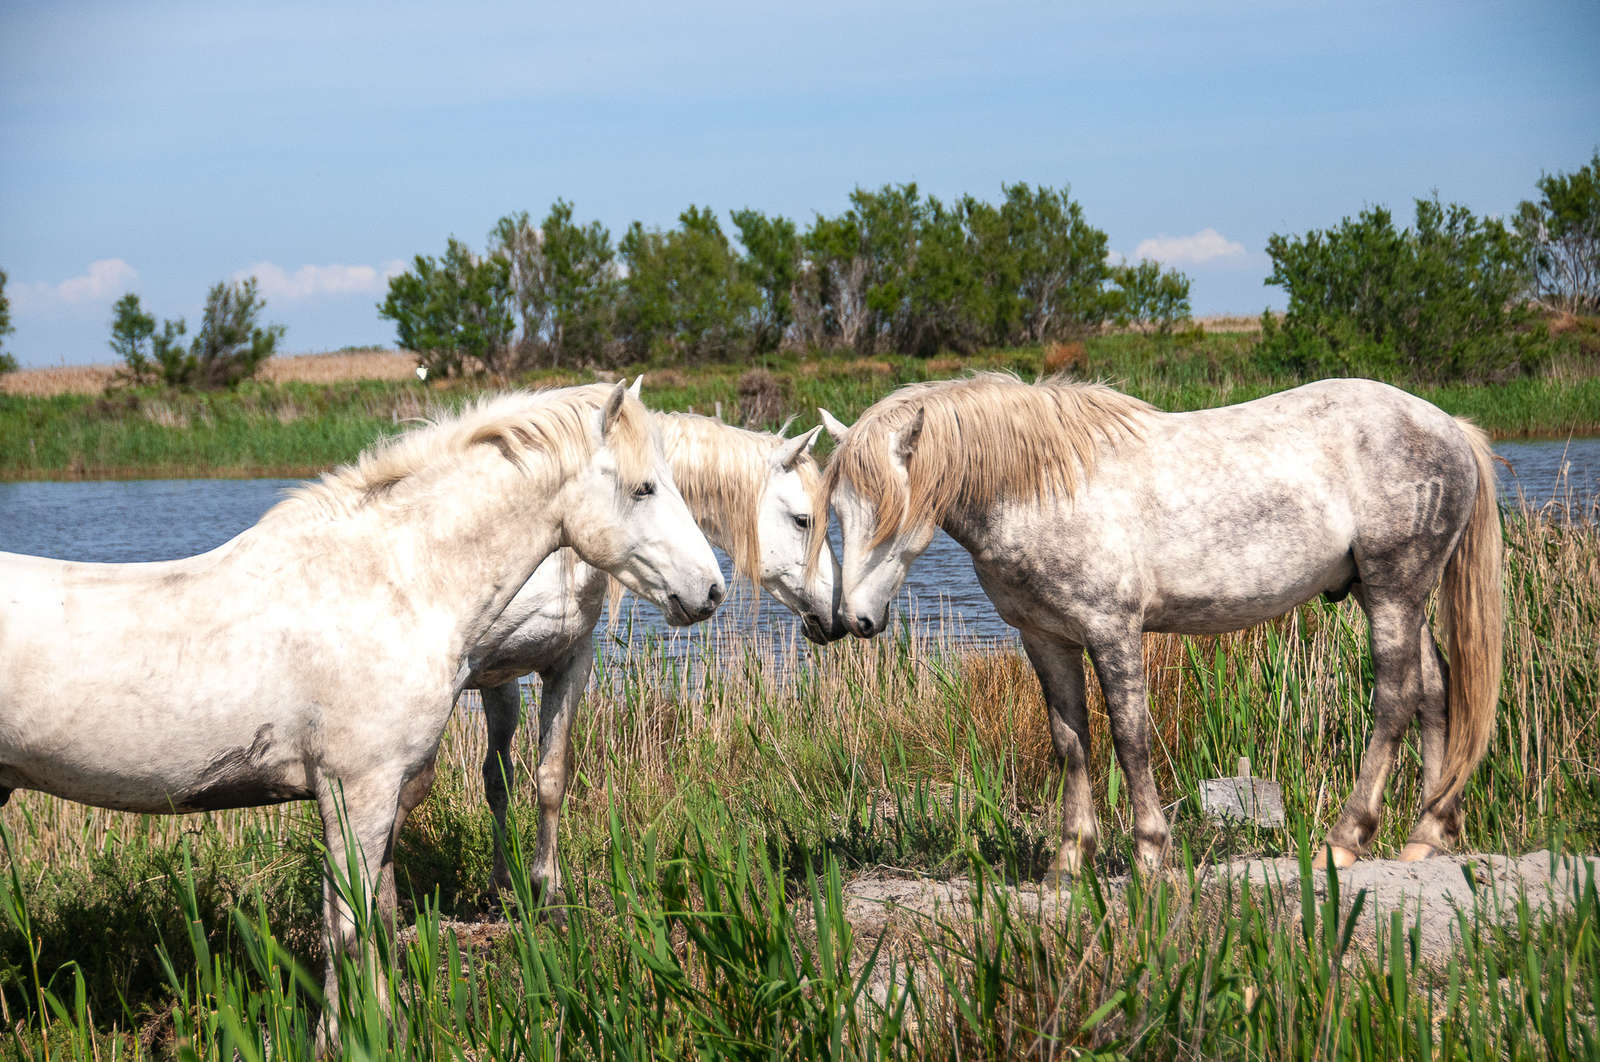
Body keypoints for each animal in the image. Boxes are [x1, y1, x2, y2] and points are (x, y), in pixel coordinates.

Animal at [0, 381, 724, 1043]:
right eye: (643, 489)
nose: (711, 591)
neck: (391, 583)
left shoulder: (372, 793)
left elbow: (370, 912)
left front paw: (383, 1024)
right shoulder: (359, 788)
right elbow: (347, 927)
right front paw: (343, 1036)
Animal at [458, 384, 848, 908]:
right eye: (804, 520)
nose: (836, 614)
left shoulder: (563, 664)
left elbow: (544, 777)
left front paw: (543, 886)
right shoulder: (484, 676)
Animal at [817, 374, 1502, 876]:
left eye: (888, 510)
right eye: (838, 512)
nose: (853, 620)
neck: (1047, 489)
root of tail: (1449, 427)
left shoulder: (1112, 631)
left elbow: (1130, 737)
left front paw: (1150, 851)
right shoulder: (1047, 639)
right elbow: (1071, 743)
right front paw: (1070, 862)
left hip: (1393, 590)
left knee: (1396, 698)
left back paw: (1345, 839)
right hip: (1390, 595)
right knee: (1436, 691)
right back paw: (1427, 835)